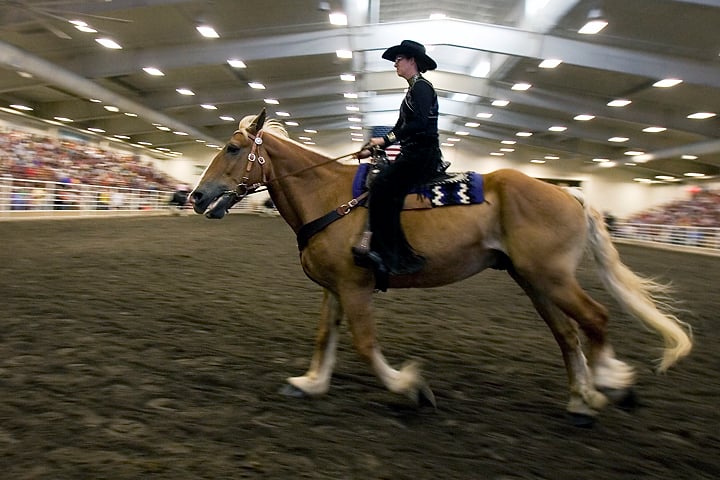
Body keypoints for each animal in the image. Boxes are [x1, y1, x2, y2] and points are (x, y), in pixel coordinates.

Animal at [189, 109, 692, 424]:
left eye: (232, 148)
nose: (195, 196)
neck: (329, 196)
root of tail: (569, 193)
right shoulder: (335, 287)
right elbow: (324, 338)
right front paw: (310, 384)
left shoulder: (354, 287)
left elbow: (365, 344)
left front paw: (410, 388)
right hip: (533, 280)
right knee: (569, 335)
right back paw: (582, 401)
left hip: (551, 278)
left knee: (596, 319)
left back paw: (612, 383)